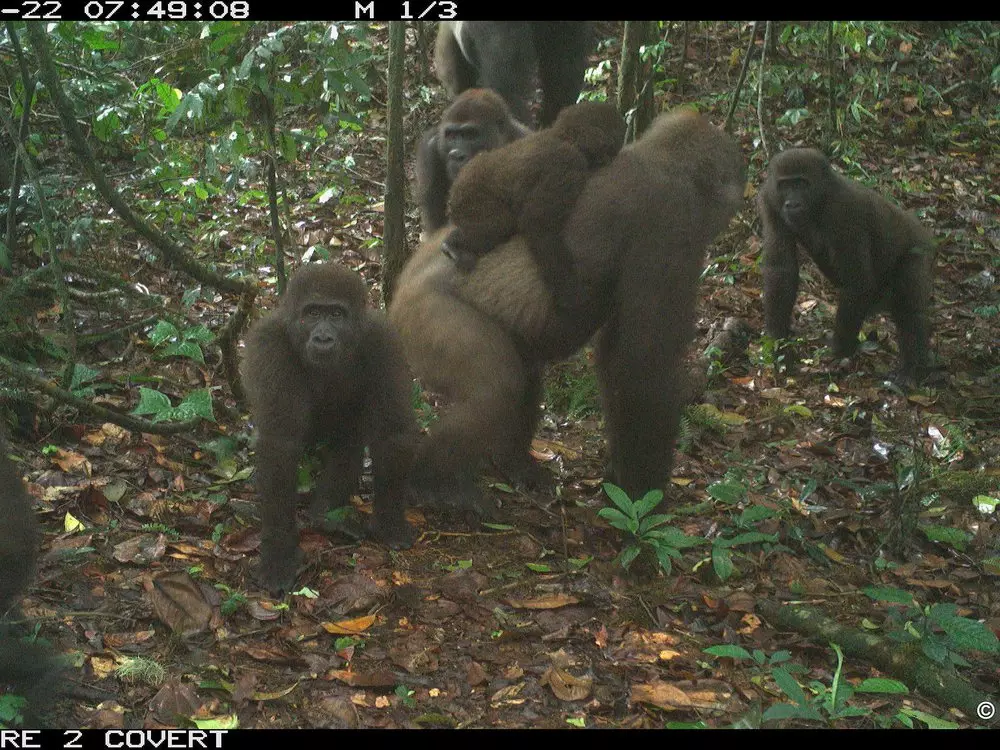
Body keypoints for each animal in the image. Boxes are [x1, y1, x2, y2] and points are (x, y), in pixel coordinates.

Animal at [244, 264, 416, 592]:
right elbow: (280, 443)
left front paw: (389, 521)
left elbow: (390, 430)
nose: (323, 337)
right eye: (312, 313)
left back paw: (327, 514)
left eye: (336, 314)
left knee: (350, 436)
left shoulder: (384, 341)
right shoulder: (270, 344)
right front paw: (278, 551)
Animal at [388, 108, 744, 508]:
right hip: (422, 315)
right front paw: (643, 497)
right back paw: (430, 482)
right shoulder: (672, 225)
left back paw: (512, 463)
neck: (661, 157)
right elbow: (643, 365)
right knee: (494, 389)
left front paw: (620, 481)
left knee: (523, 373)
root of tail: (397, 290)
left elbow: (617, 359)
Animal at [760, 148, 932, 382]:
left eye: (801, 184)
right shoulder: (769, 199)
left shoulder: (844, 209)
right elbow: (781, 270)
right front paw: (779, 343)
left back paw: (912, 370)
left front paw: (840, 351)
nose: (792, 203)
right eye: (785, 185)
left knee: (909, 309)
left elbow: (858, 282)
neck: (821, 195)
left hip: (919, 249)